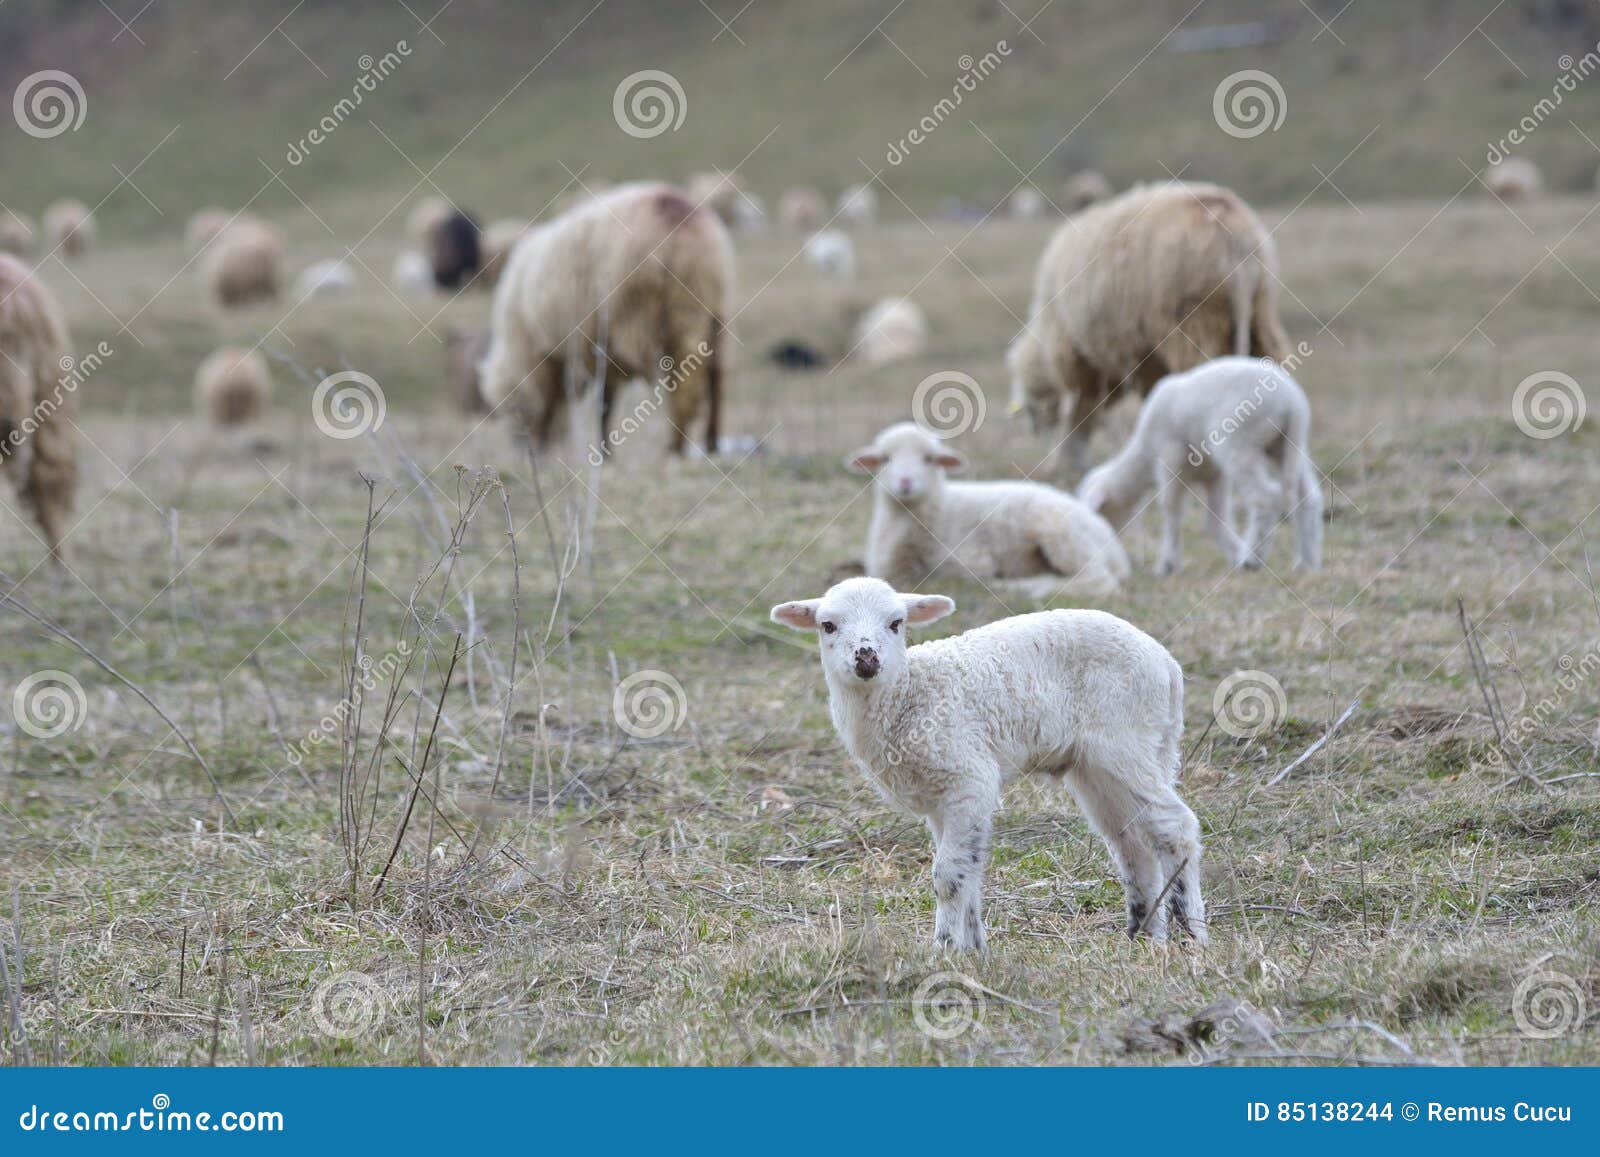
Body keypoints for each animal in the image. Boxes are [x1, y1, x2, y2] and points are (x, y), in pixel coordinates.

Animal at [479, 181, 733, 457]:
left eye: (513, 413)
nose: (524, 451)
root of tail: (678, 215)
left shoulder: (566, 350)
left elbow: (594, 401)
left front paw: (600, 451)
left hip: (664, 313)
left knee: (685, 381)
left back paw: (675, 446)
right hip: (711, 310)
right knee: (716, 376)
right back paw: (711, 441)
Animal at [771, 576, 1206, 951]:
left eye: (897, 623)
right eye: (828, 626)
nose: (866, 657)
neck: (909, 695)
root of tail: (1167, 664)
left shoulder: (968, 776)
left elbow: (948, 875)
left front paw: (944, 949)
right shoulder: (940, 798)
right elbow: (970, 870)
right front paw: (974, 948)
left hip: (1126, 740)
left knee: (1176, 826)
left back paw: (1192, 937)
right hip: (1097, 767)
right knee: (1131, 843)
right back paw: (1143, 938)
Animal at [850, 422, 1129, 599]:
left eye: (929, 459)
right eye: (885, 459)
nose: (905, 482)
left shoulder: (969, 560)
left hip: (1062, 534)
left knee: (1099, 581)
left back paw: (1026, 586)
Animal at [1007, 180, 1291, 484]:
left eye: (1031, 408)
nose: (1034, 434)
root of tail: (1234, 232)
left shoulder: (1082, 357)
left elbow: (1082, 413)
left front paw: (1071, 462)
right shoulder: (1138, 356)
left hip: (1194, 321)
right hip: (1260, 312)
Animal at [1078, 356, 1322, 574]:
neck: (1144, 454)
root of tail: (1292, 403)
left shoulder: (1170, 457)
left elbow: (1170, 509)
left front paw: (1168, 564)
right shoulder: (1214, 475)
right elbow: (1214, 521)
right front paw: (1232, 552)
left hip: (1239, 444)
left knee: (1265, 496)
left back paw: (1252, 558)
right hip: (1286, 445)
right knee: (1308, 497)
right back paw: (1306, 562)